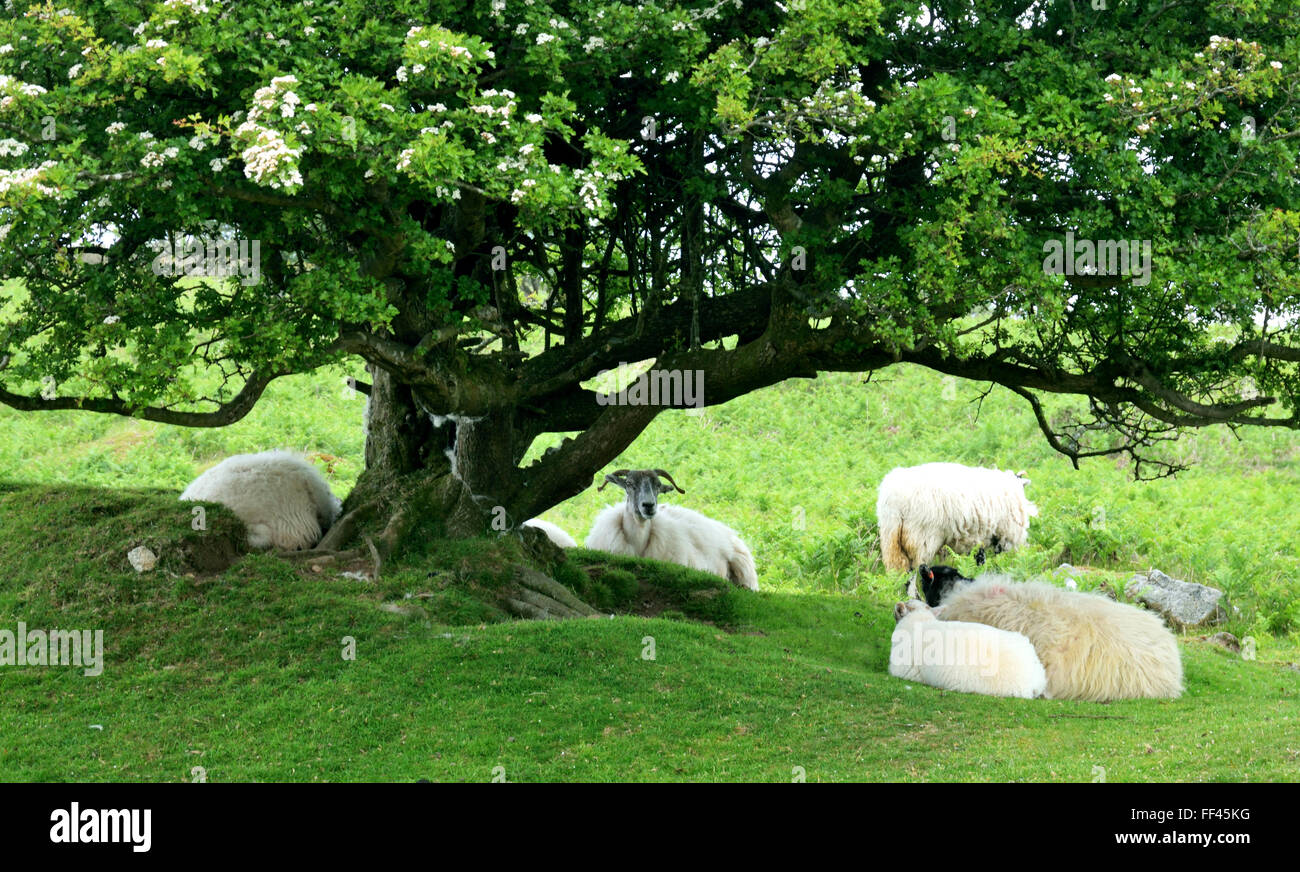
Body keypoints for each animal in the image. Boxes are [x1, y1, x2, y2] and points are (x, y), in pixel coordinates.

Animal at [877, 462, 1038, 573]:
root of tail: (895, 500)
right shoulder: (1006, 536)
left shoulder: (979, 539)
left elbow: (979, 559)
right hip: (921, 539)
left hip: (891, 541)